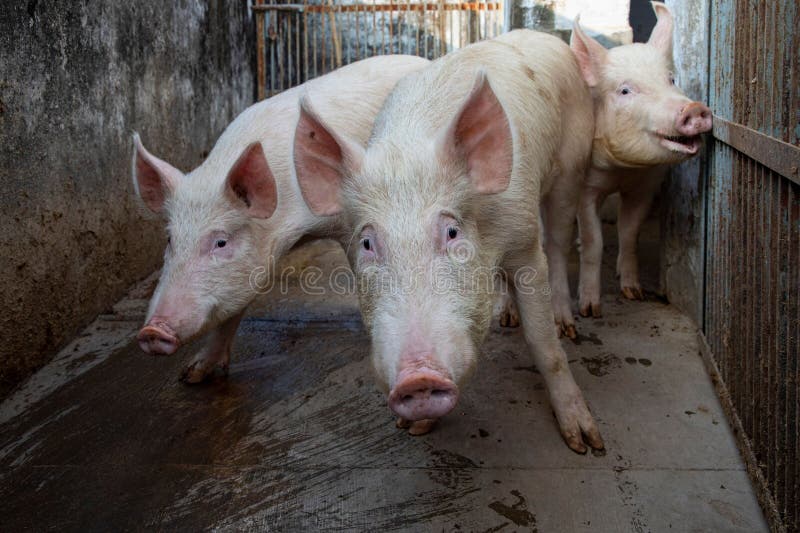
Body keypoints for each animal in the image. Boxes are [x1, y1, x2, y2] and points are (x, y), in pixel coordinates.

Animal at [293, 30, 604, 453]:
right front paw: (413, 429)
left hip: (570, 167)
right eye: (368, 243)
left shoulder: (523, 240)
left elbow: (543, 343)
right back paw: (507, 316)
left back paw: (566, 322)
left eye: (452, 232)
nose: (418, 378)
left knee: (556, 243)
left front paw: (585, 442)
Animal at [570, 2, 712, 316]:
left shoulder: (646, 186)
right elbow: (594, 242)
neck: (622, 170)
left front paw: (633, 293)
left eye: (671, 79)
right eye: (625, 90)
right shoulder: (585, 188)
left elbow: (630, 232)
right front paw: (590, 310)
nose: (695, 109)